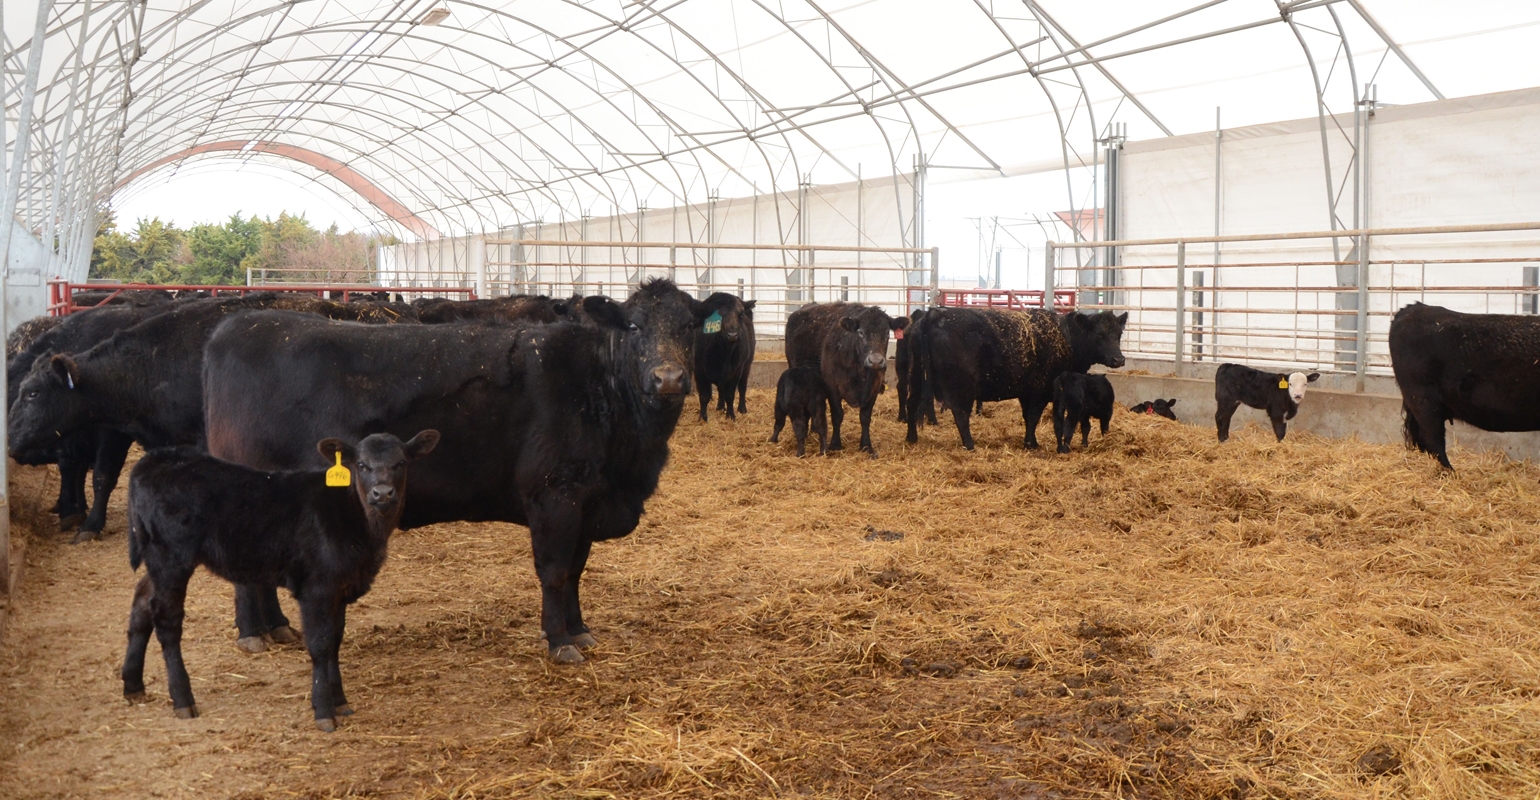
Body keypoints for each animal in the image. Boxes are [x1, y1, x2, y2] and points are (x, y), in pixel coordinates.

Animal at [122, 430, 439, 731]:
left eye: (400, 463)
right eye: (361, 465)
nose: (382, 493)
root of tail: (154, 459)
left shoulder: (339, 588)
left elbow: (335, 642)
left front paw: (340, 701)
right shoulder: (316, 589)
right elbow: (321, 645)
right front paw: (324, 711)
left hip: (158, 561)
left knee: (141, 601)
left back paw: (133, 686)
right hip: (171, 557)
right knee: (167, 620)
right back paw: (182, 700)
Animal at [202, 278, 709, 663]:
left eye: (689, 326)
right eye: (634, 326)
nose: (668, 378)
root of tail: (238, 325)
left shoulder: (588, 498)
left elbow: (576, 571)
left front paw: (580, 629)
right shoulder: (555, 492)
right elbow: (555, 571)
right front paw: (560, 641)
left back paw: (275, 627)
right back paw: (252, 632)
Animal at [694, 293, 756, 421]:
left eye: (740, 314)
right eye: (717, 315)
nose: (732, 335)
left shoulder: (735, 371)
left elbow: (730, 395)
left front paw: (731, 415)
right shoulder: (699, 371)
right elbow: (704, 396)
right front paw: (702, 417)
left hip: (747, 366)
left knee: (742, 387)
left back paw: (742, 408)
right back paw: (720, 406)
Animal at [784, 302, 908, 455]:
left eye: (886, 333)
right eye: (860, 332)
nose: (875, 361)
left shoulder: (874, 387)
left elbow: (865, 417)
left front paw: (866, 446)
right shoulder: (832, 388)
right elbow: (837, 416)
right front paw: (835, 444)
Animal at [906, 307, 1128, 450]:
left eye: (1119, 334)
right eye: (1099, 335)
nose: (1119, 359)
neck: (1066, 337)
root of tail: (934, 314)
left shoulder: (1026, 392)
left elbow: (1027, 417)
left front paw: (1031, 441)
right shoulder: (1040, 391)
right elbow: (1033, 416)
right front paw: (1031, 444)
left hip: (916, 378)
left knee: (911, 403)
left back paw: (911, 438)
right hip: (961, 387)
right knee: (960, 415)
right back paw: (969, 445)